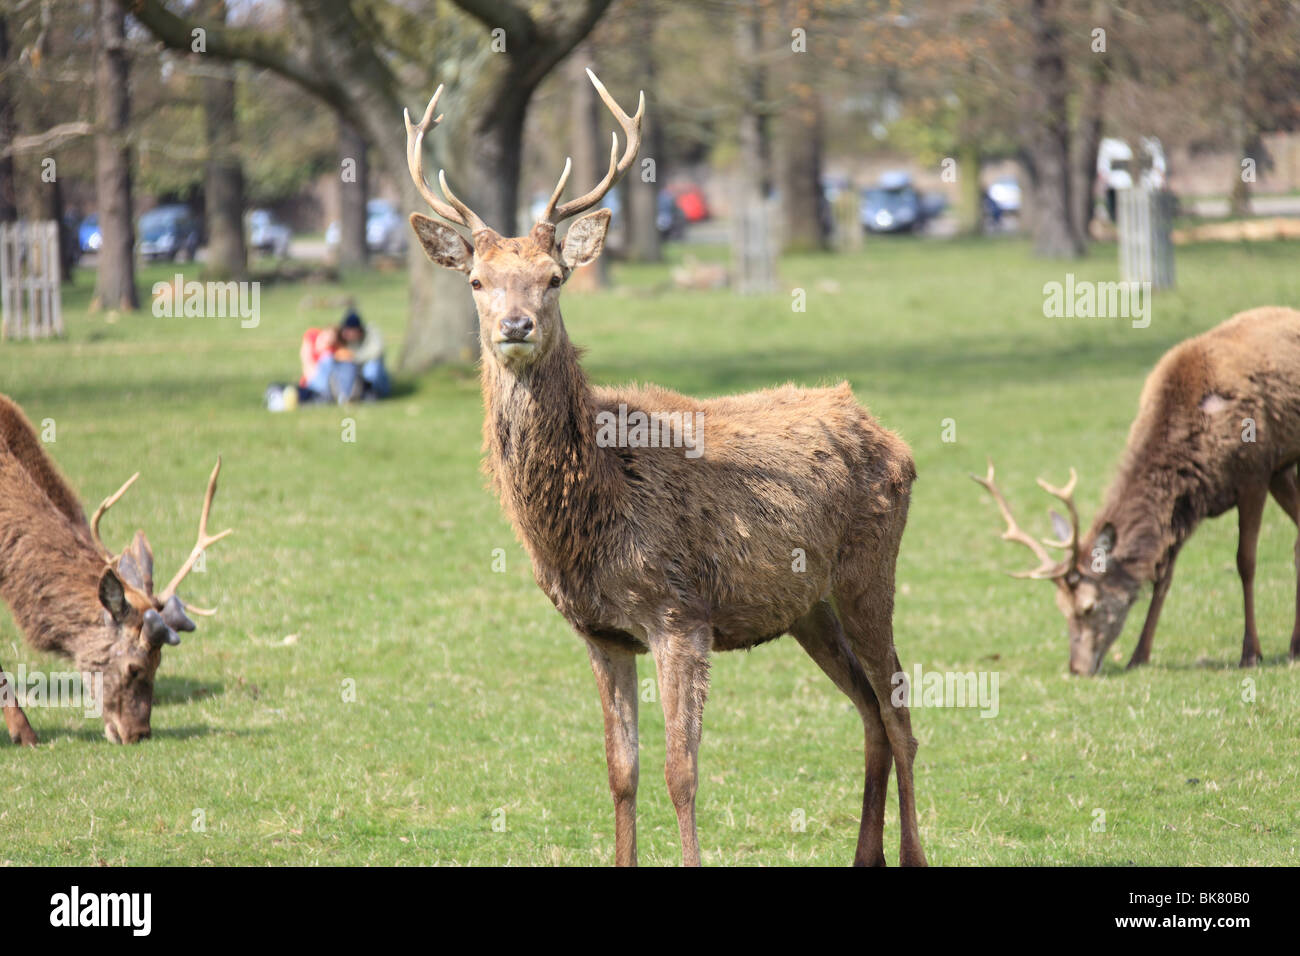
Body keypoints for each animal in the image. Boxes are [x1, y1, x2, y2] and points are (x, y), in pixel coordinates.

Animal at [403, 70, 926, 866]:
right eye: (477, 282)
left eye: (554, 278)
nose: (515, 326)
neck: (589, 513)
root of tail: (893, 439)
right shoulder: (600, 632)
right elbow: (622, 771)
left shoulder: (681, 612)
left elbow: (683, 772)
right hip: (808, 605)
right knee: (868, 708)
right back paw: (865, 856)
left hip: (871, 570)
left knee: (900, 713)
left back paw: (913, 853)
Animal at [973, 306, 1300, 676]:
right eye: (1061, 608)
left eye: (1089, 606)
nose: (1076, 668)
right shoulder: (1187, 504)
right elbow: (1161, 575)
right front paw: (1138, 655)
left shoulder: (1254, 474)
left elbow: (1245, 562)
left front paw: (1251, 652)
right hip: (1282, 471)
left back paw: (1291, 645)